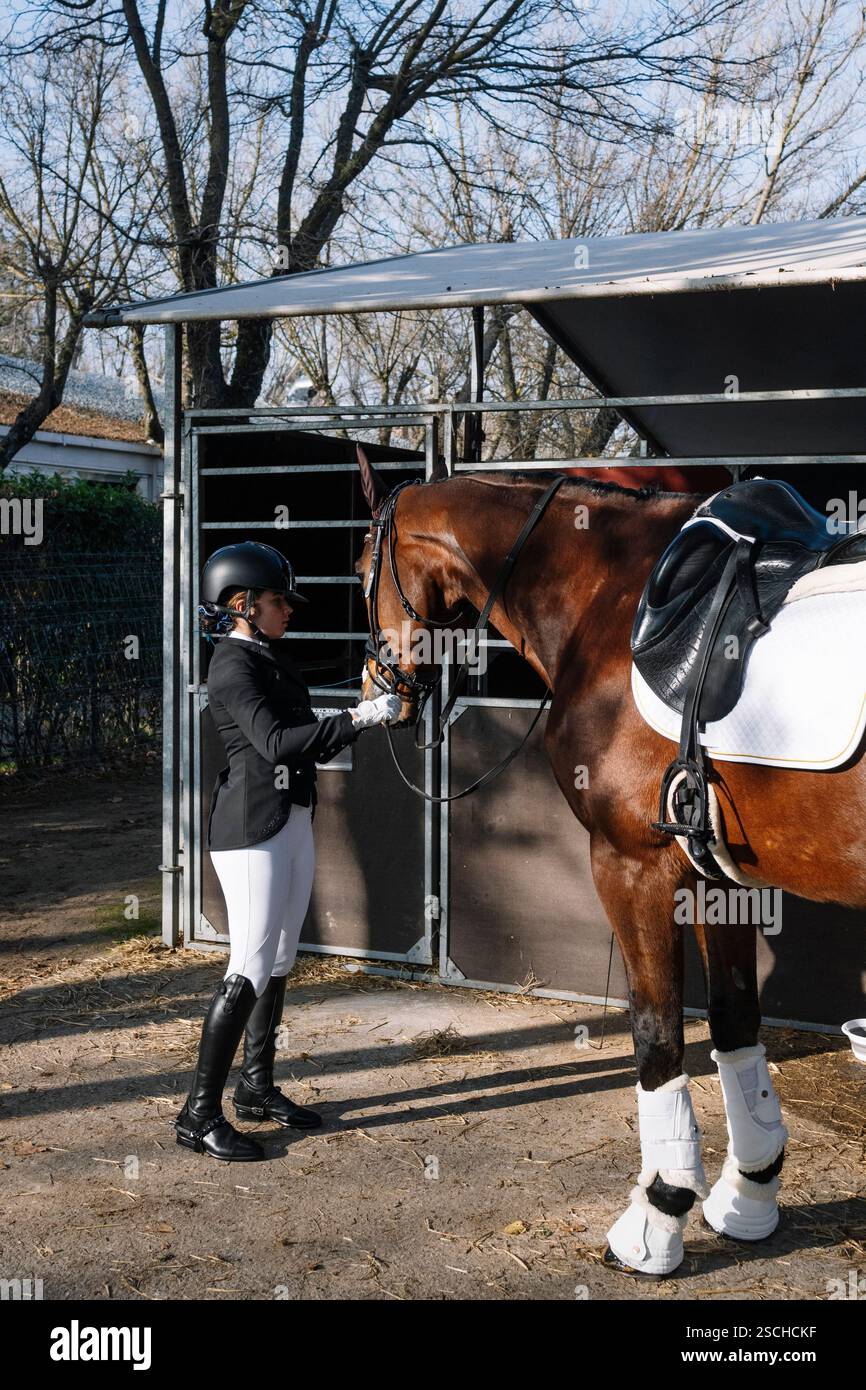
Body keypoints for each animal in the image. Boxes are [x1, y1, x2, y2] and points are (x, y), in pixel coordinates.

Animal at [351, 446, 866, 1278]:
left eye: (361, 563)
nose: (380, 691)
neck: (611, 591)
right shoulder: (718, 876)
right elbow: (735, 1025)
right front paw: (748, 1195)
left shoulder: (632, 867)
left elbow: (657, 1037)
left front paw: (658, 1218)